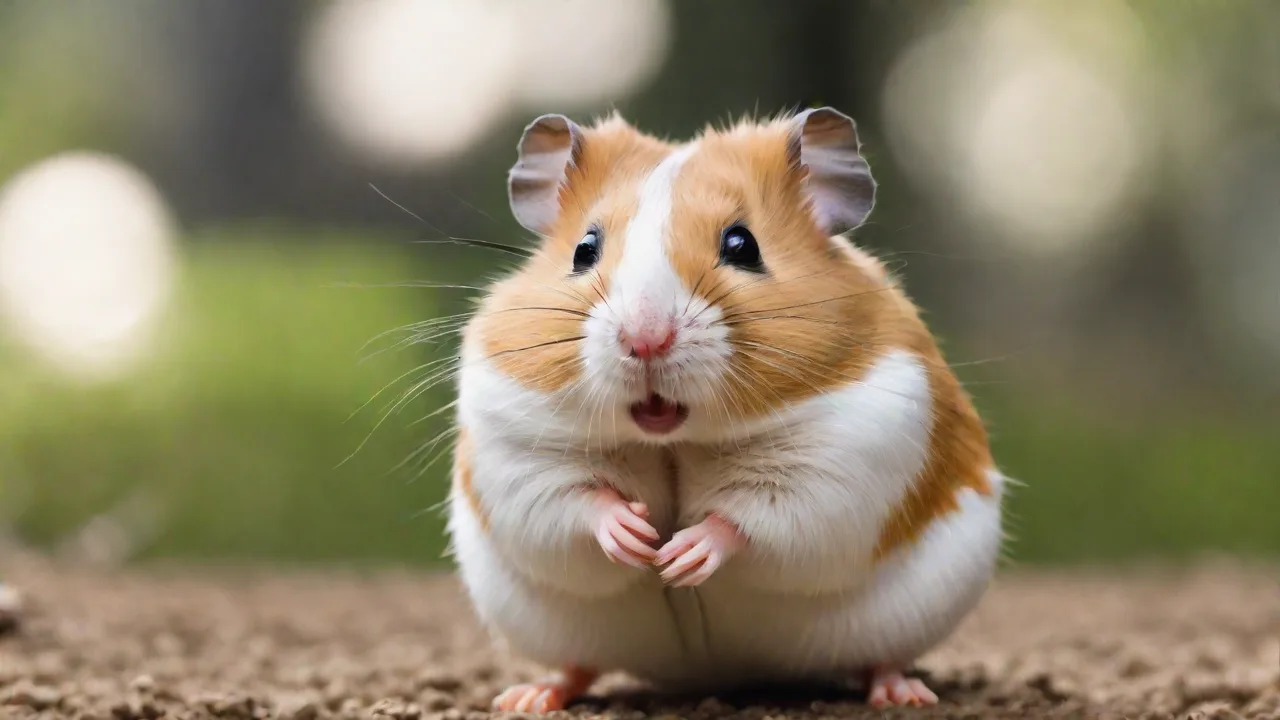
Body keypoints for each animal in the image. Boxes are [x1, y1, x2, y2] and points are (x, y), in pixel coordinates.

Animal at [445, 107, 1008, 712]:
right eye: (583, 251)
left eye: (743, 245)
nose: (645, 340)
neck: (673, 439)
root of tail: (709, 678)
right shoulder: (519, 451)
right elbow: (577, 502)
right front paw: (639, 538)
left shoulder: (842, 459)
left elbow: (750, 518)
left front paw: (680, 557)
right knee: (579, 665)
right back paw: (528, 697)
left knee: (881, 660)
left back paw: (904, 694)